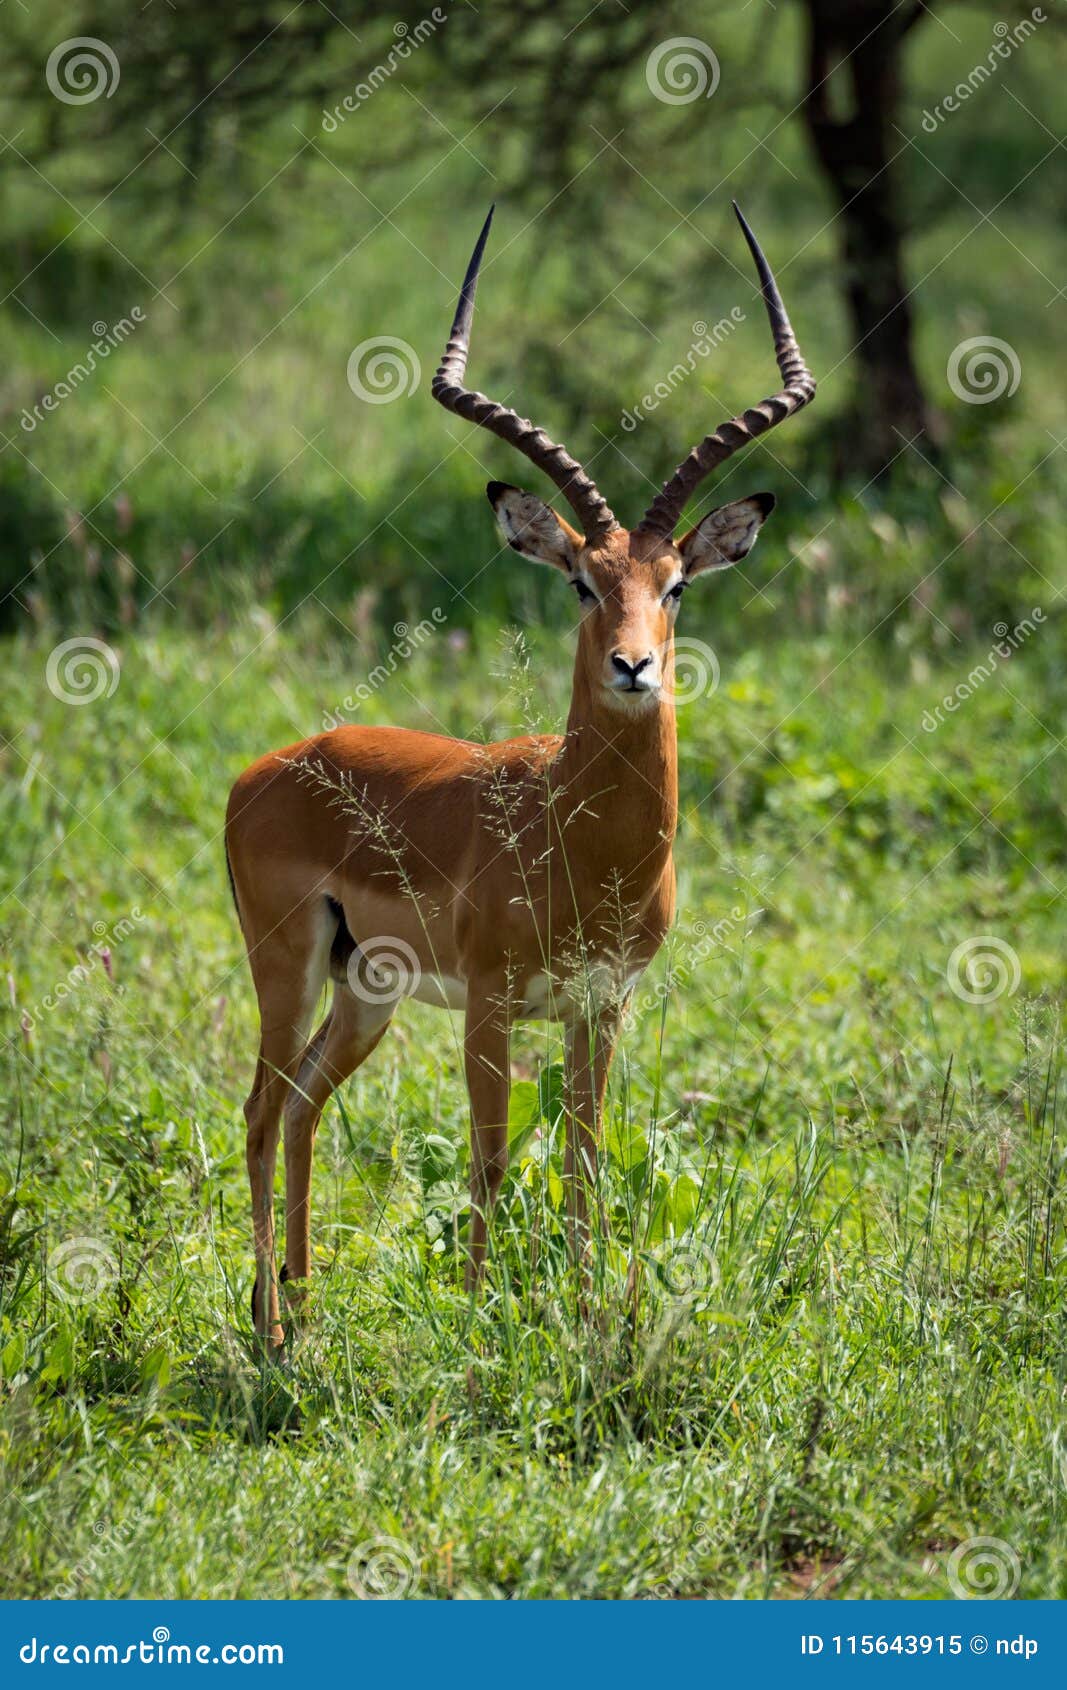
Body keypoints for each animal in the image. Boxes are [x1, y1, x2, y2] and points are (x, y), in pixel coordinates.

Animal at [226, 203, 815, 1348]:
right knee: (262, 1110)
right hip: (288, 966)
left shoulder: (600, 1004)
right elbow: (493, 1157)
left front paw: (583, 1320)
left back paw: (307, 1310)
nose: (633, 666)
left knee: (308, 1103)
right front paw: (473, 1323)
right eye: (582, 580)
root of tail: (262, 771)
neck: (581, 842)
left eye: (673, 584)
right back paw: (271, 1331)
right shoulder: (494, 1002)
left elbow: (583, 1162)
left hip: (365, 990)